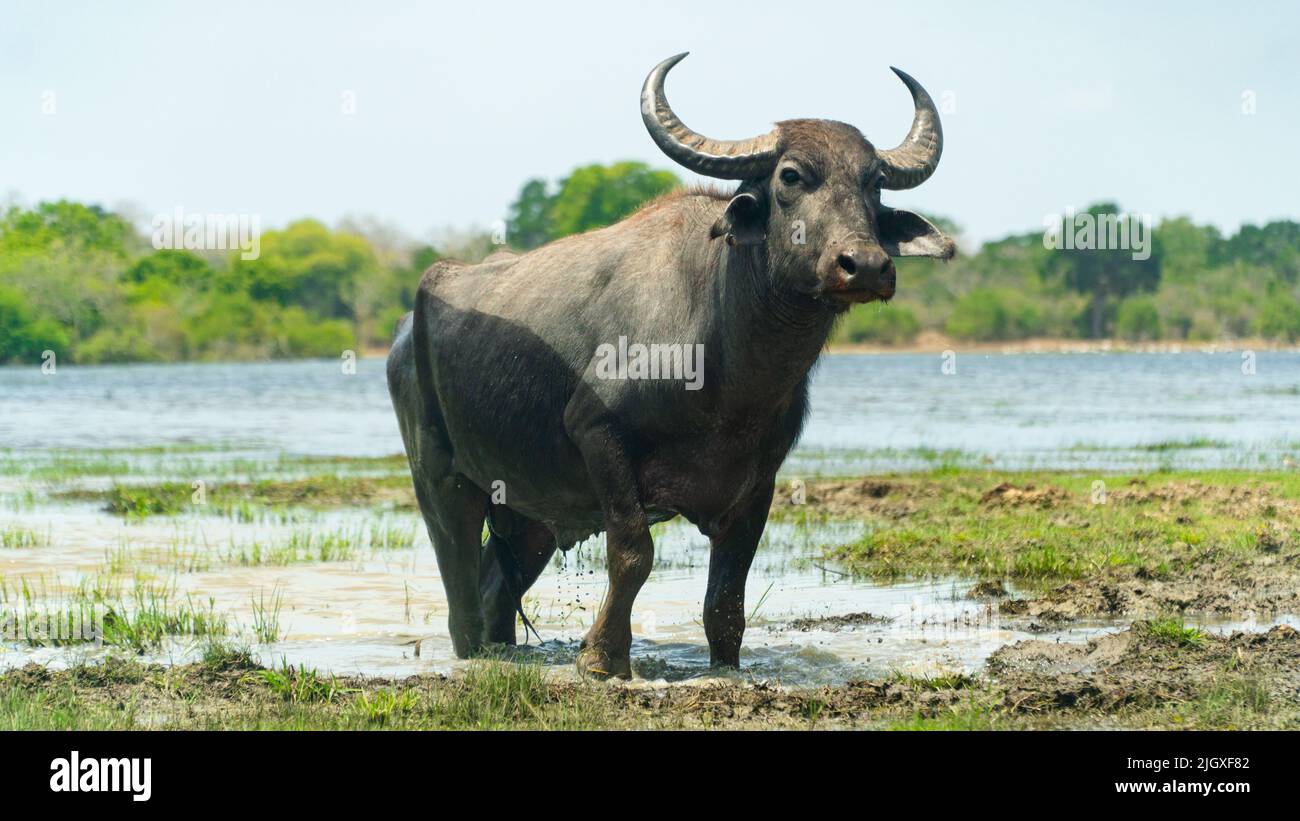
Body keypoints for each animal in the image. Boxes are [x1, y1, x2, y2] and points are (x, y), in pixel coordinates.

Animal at [388, 53, 953, 679]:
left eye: (872, 182)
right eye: (791, 176)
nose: (866, 265)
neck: (730, 378)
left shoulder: (759, 479)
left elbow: (727, 594)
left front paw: (723, 665)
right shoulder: (599, 436)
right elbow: (634, 553)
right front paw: (602, 658)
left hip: (530, 506)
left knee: (495, 586)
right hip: (440, 480)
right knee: (460, 585)